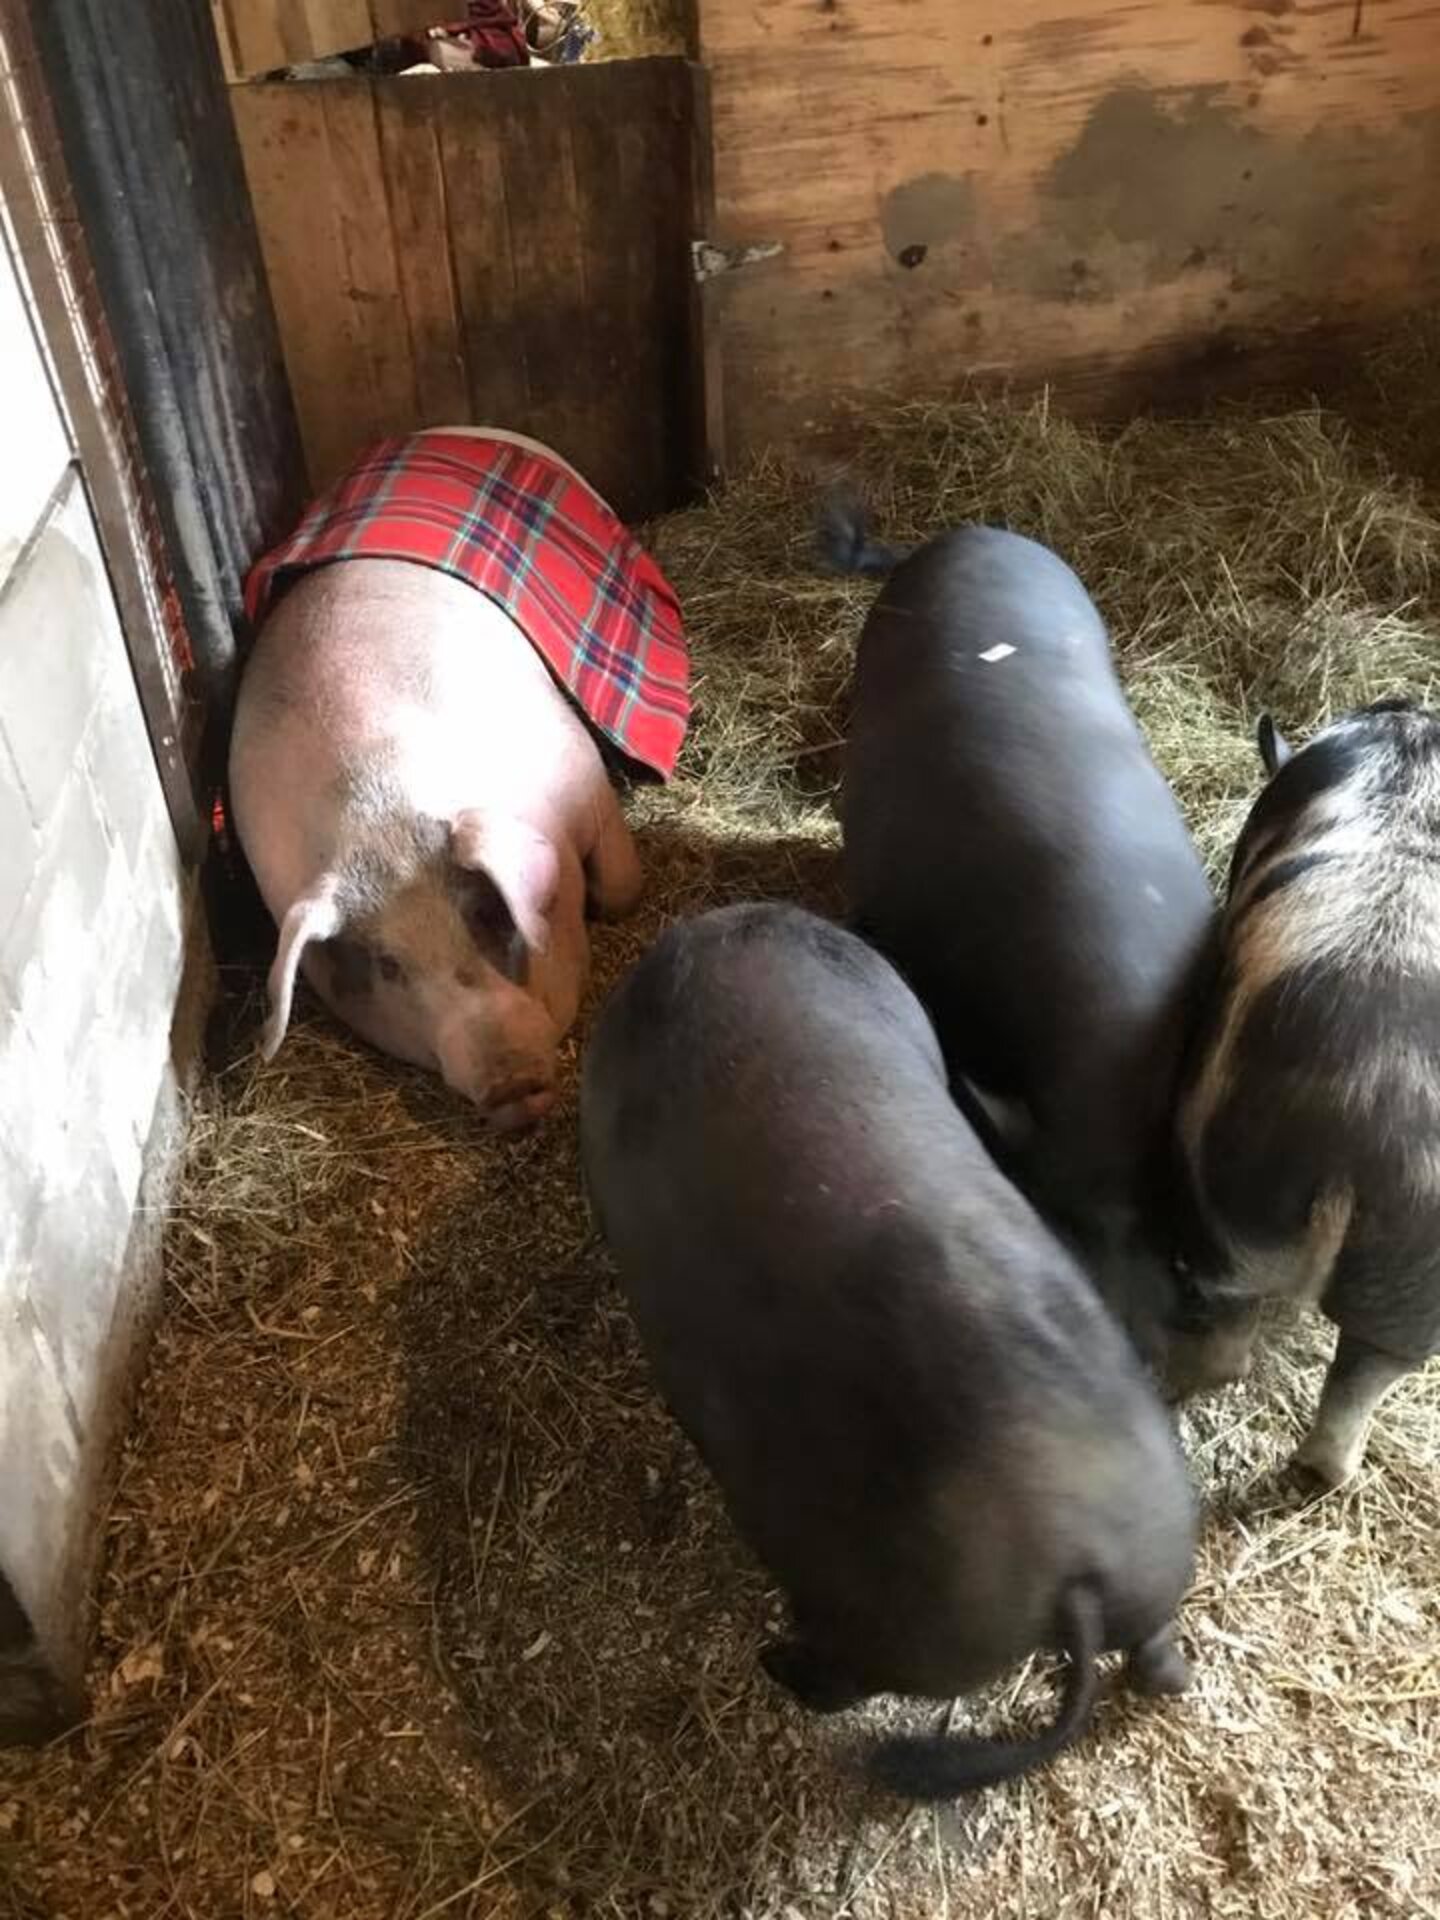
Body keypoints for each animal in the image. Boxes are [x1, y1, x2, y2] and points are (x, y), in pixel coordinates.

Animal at [229, 555, 644, 1131]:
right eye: (388, 964)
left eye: (487, 913)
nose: (510, 1082)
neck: (380, 814)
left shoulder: (579, 763)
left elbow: (624, 889)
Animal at [579, 901, 1196, 1799]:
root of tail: (1076, 1569)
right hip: (1158, 1560)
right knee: (1160, 1654)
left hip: (891, 1631)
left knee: (841, 1681)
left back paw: (777, 1663)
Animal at [1167, 698, 1440, 1484]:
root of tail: (1356, 1153)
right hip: (1413, 1285)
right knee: (1363, 1377)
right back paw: (1323, 1474)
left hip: (1224, 1229)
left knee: (1229, 1346)